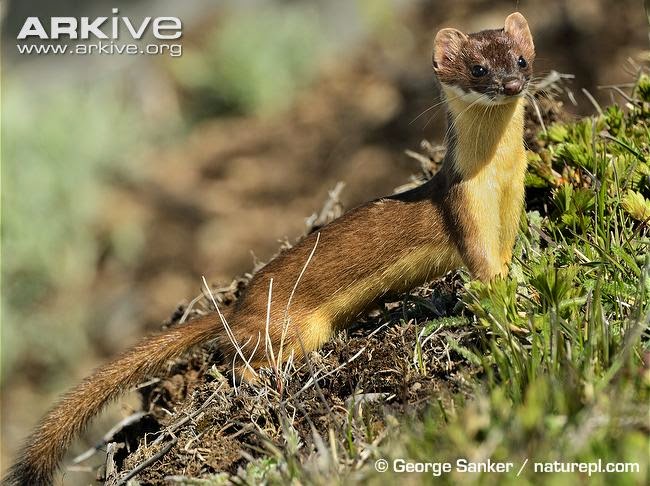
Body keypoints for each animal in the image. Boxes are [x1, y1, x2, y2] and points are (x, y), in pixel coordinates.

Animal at [3, 13, 532, 484]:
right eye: (477, 68)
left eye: (521, 59)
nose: (511, 83)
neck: (498, 181)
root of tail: (238, 308)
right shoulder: (465, 213)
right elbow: (482, 269)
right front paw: (511, 310)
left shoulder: (510, 213)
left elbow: (506, 261)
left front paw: (520, 290)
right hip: (293, 328)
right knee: (241, 361)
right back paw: (268, 374)